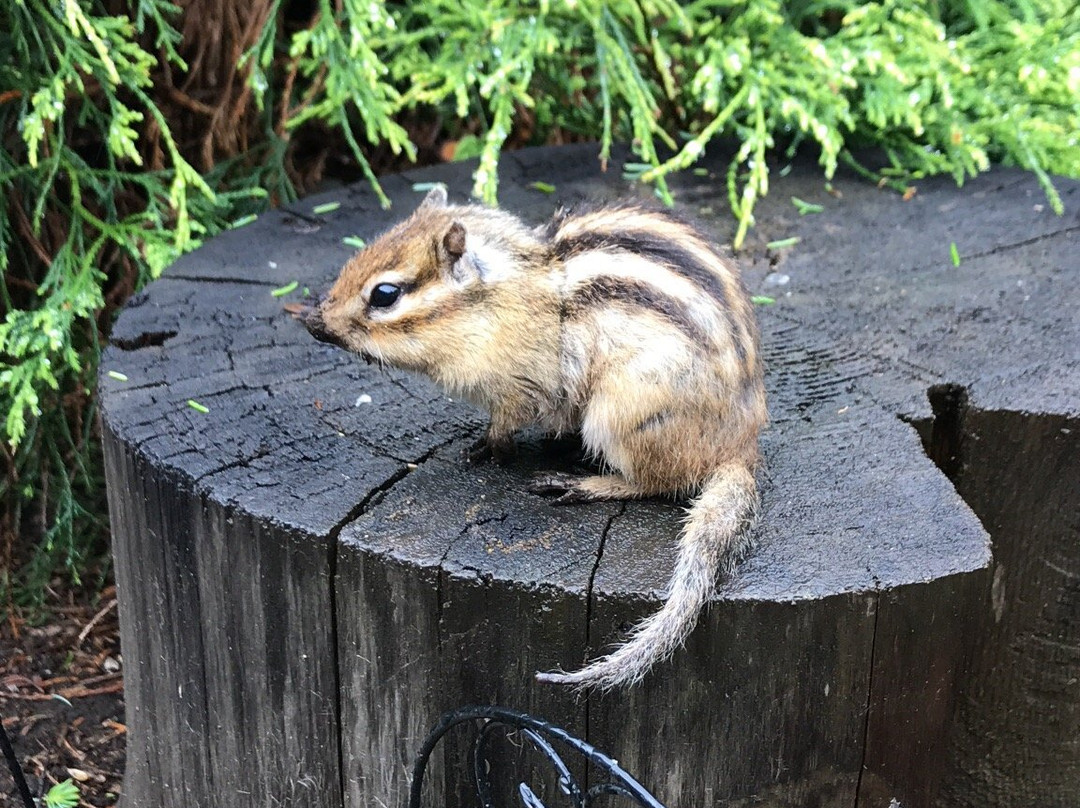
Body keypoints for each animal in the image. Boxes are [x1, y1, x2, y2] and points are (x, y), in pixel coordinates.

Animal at [303, 185, 767, 689]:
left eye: (385, 294)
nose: (313, 322)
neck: (498, 297)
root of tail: (739, 447)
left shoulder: (525, 386)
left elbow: (509, 419)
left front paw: (490, 445)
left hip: (622, 416)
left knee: (655, 482)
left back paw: (585, 483)